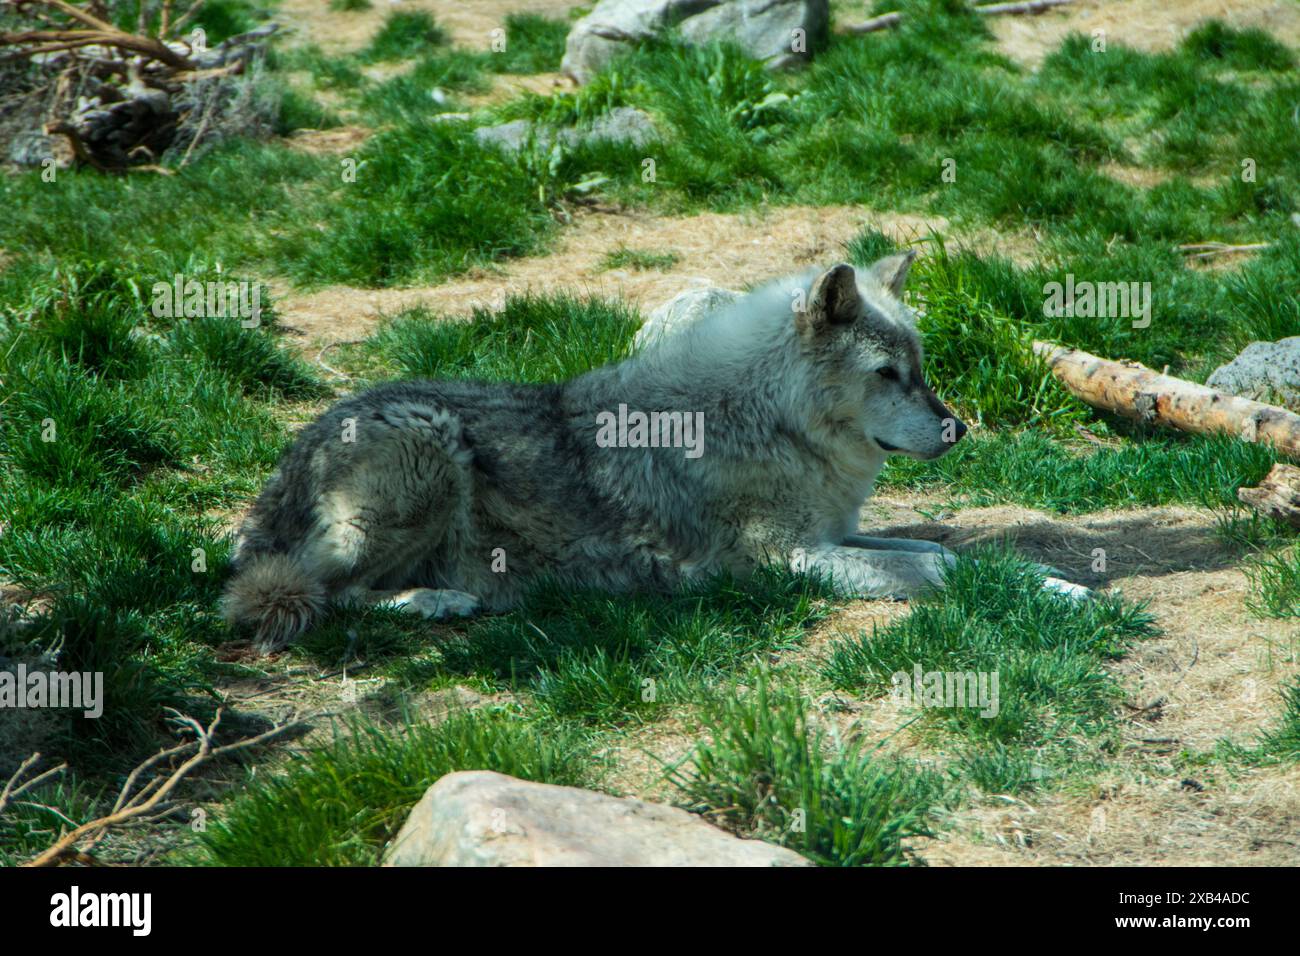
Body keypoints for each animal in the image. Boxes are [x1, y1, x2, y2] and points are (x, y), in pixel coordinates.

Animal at [223, 253, 1085, 653]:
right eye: (888, 374)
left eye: (923, 369)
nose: (958, 429)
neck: (768, 420)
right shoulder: (799, 559)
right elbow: (938, 572)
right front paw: (1063, 591)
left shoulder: (836, 536)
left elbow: (938, 551)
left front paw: (1049, 580)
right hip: (428, 447)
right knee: (307, 593)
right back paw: (438, 601)